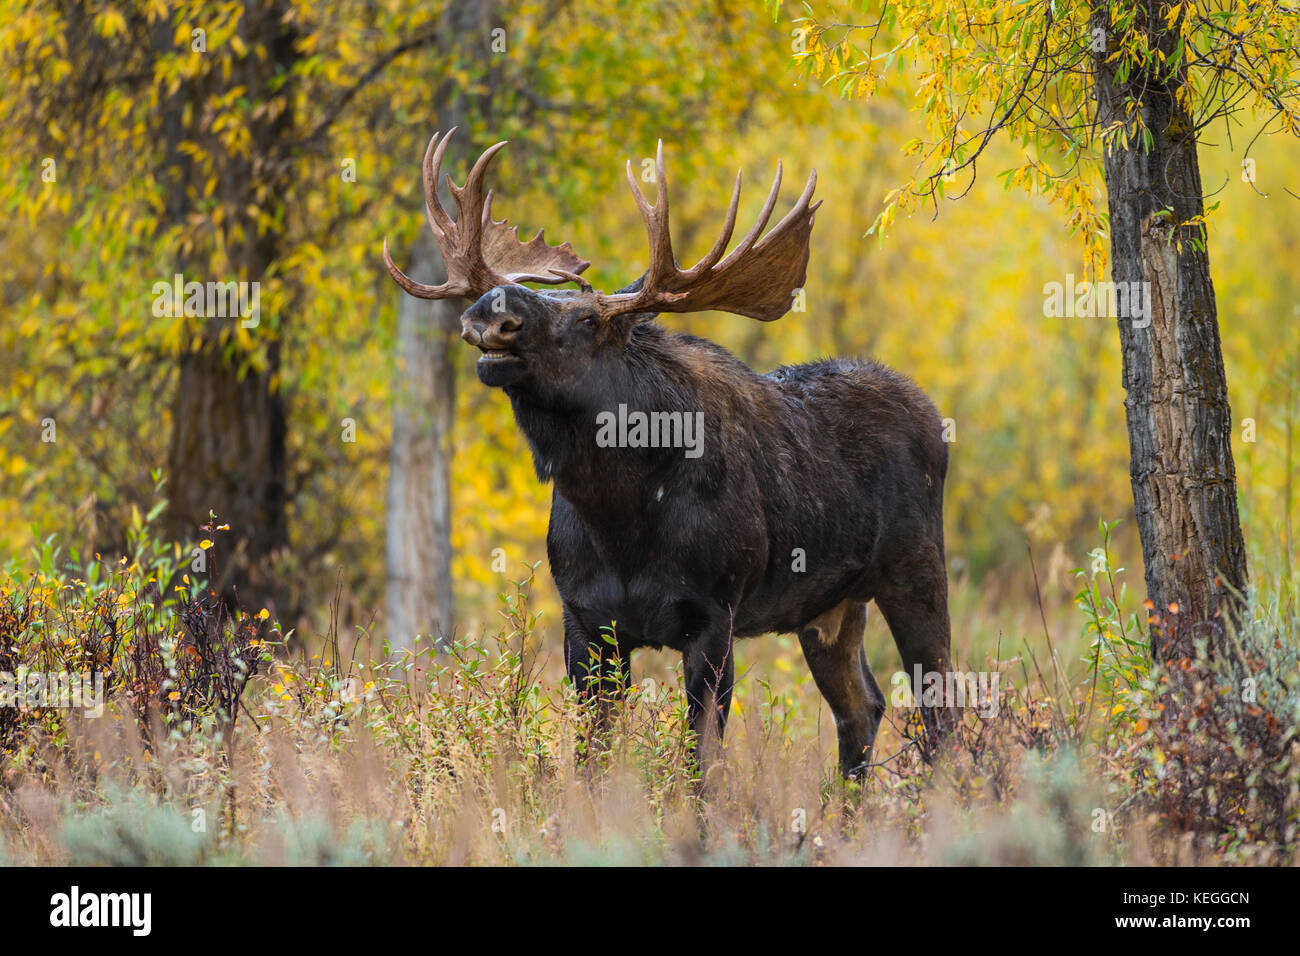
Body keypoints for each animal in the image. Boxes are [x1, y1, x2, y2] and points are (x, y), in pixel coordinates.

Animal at [385, 129, 956, 778]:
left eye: (588, 318)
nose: (492, 309)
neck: (619, 522)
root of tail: (932, 414)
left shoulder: (713, 616)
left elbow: (700, 762)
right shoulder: (586, 622)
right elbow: (591, 760)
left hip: (917, 568)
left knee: (940, 710)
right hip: (829, 607)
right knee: (862, 708)